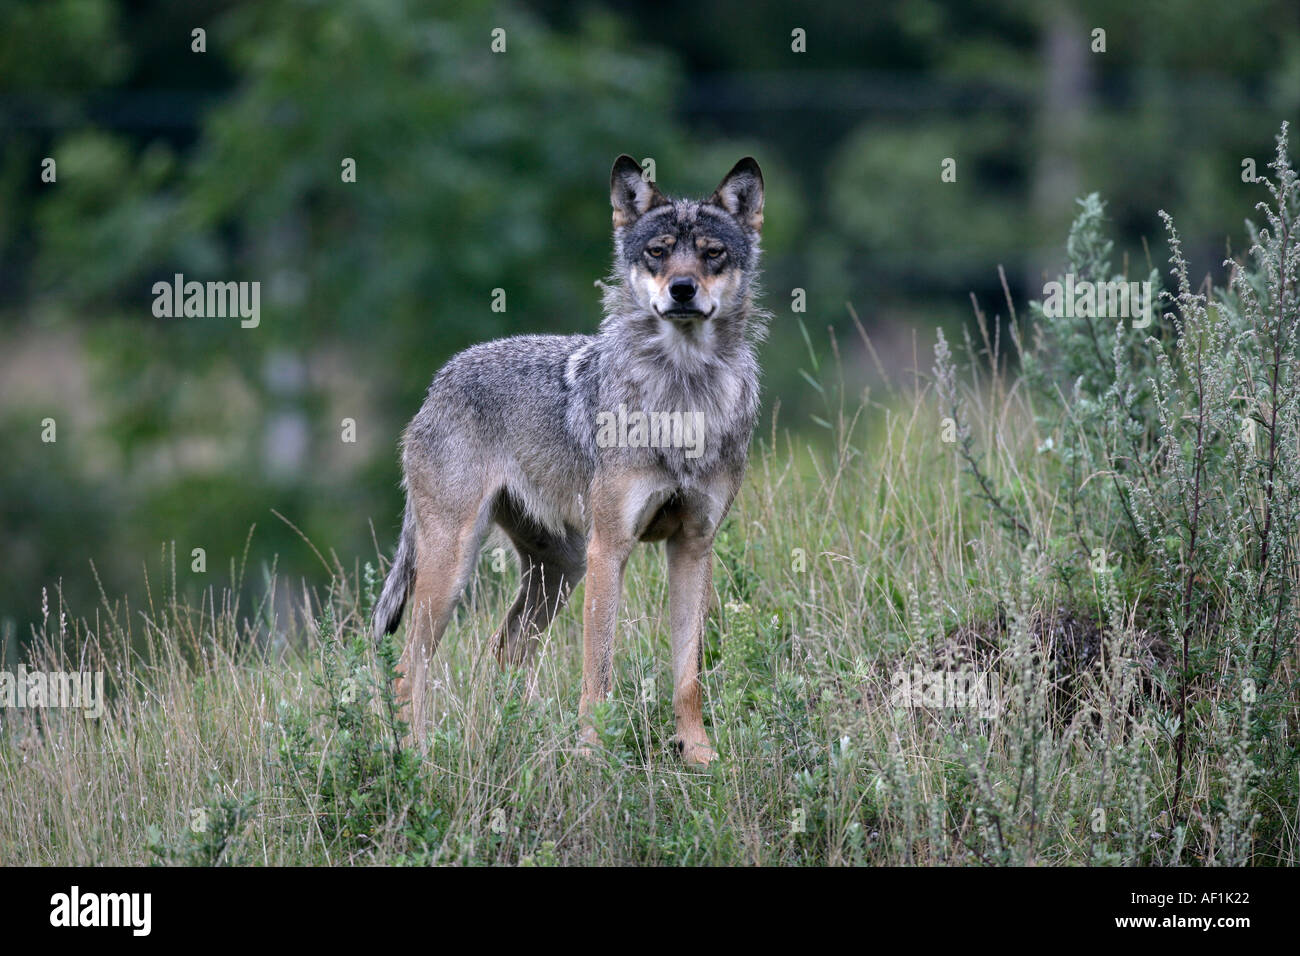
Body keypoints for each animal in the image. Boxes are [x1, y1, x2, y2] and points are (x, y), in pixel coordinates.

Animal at [372, 155, 766, 767]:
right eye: (658, 252)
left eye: (712, 253)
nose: (682, 289)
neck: (681, 396)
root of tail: (440, 380)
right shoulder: (611, 549)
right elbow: (597, 676)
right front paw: (594, 758)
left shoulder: (694, 545)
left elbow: (687, 675)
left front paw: (698, 755)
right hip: (455, 568)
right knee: (408, 665)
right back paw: (417, 758)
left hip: (560, 570)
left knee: (504, 648)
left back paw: (518, 738)